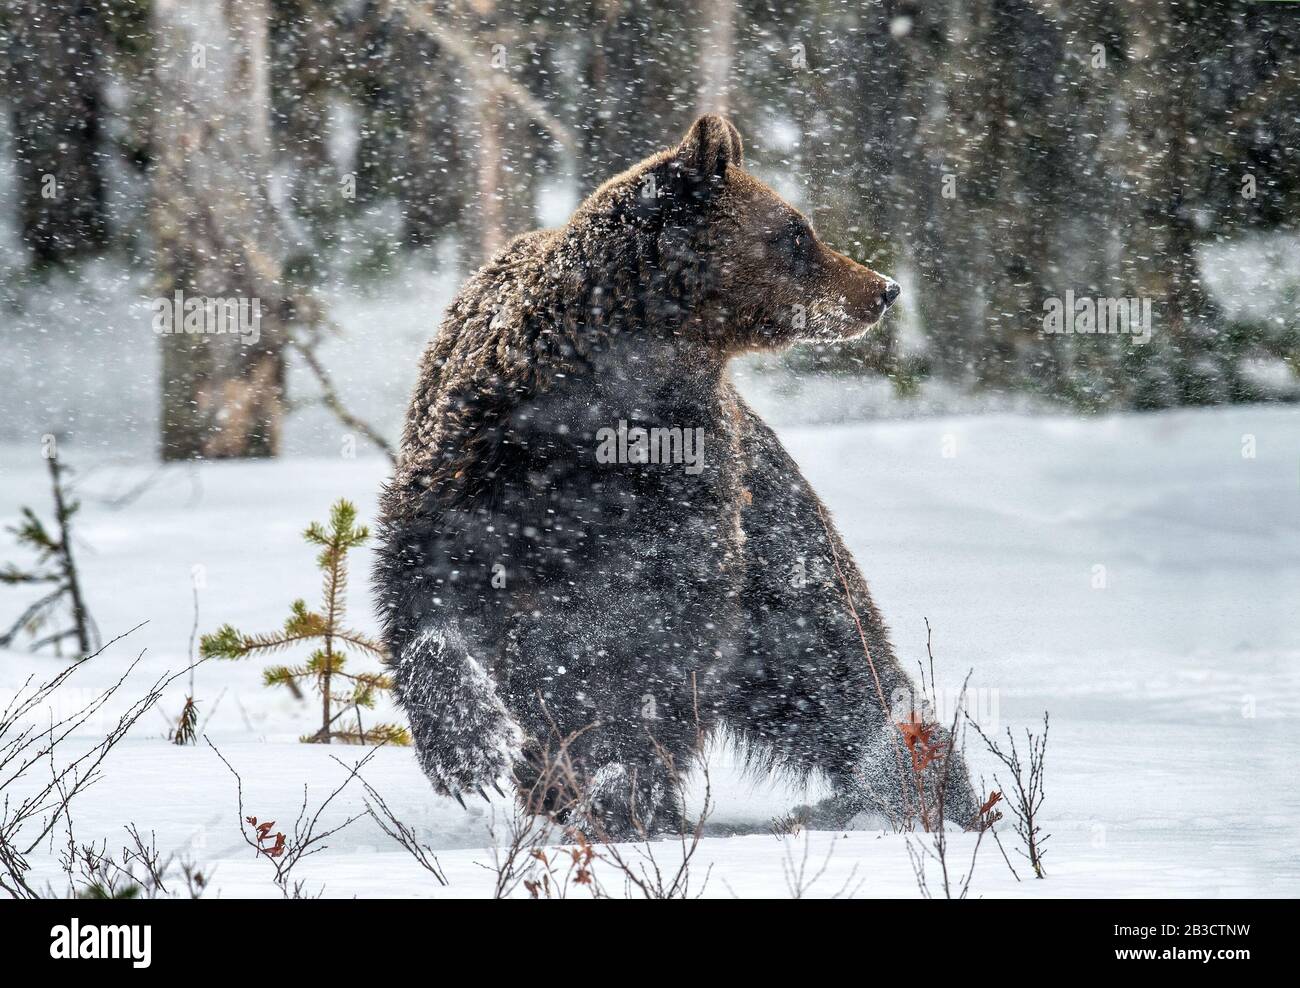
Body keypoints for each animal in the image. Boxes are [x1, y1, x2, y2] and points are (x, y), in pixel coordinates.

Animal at [374, 115, 977, 837]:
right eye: (795, 231)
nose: (882, 288)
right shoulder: (483, 464)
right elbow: (428, 595)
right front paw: (477, 751)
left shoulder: (680, 493)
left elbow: (655, 653)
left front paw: (615, 786)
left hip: (781, 559)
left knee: (837, 672)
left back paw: (909, 784)